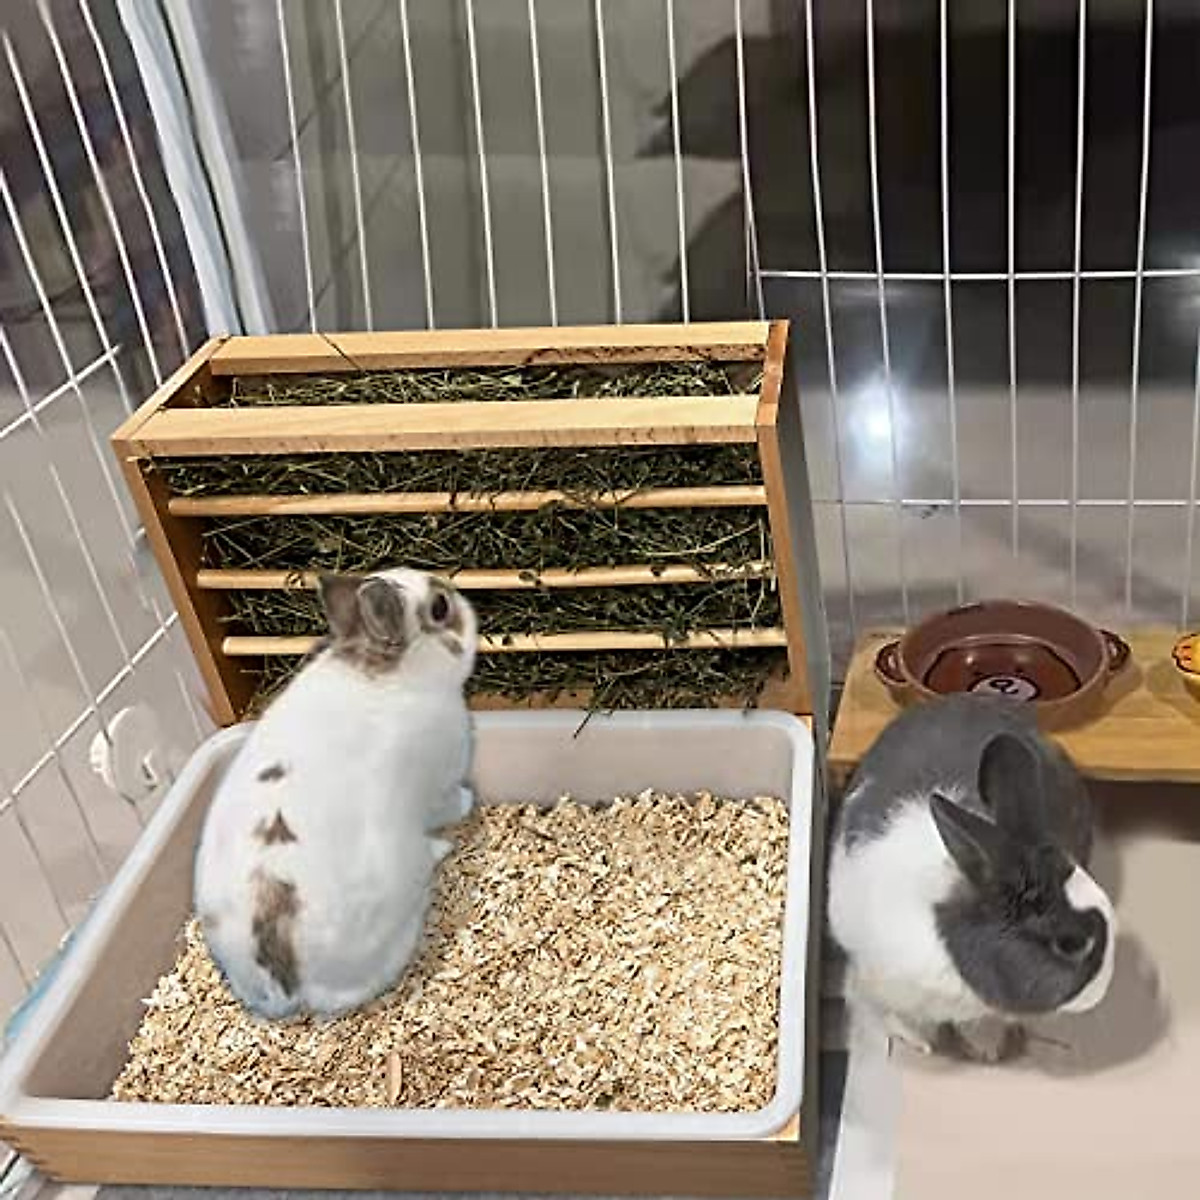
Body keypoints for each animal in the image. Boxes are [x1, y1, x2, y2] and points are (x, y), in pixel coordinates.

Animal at [193, 567, 477, 1021]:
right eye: (439, 608)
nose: (465, 602)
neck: (385, 671)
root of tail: (285, 984)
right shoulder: (440, 785)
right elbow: (449, 803)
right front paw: (468, 803)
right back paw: (438, 853)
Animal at [828, 693, 1116, 1061]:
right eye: (1071, 945)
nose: (1101, 992)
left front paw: (986, 1049)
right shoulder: (877, 978)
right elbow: (894, 1015)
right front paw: (919, 1043)